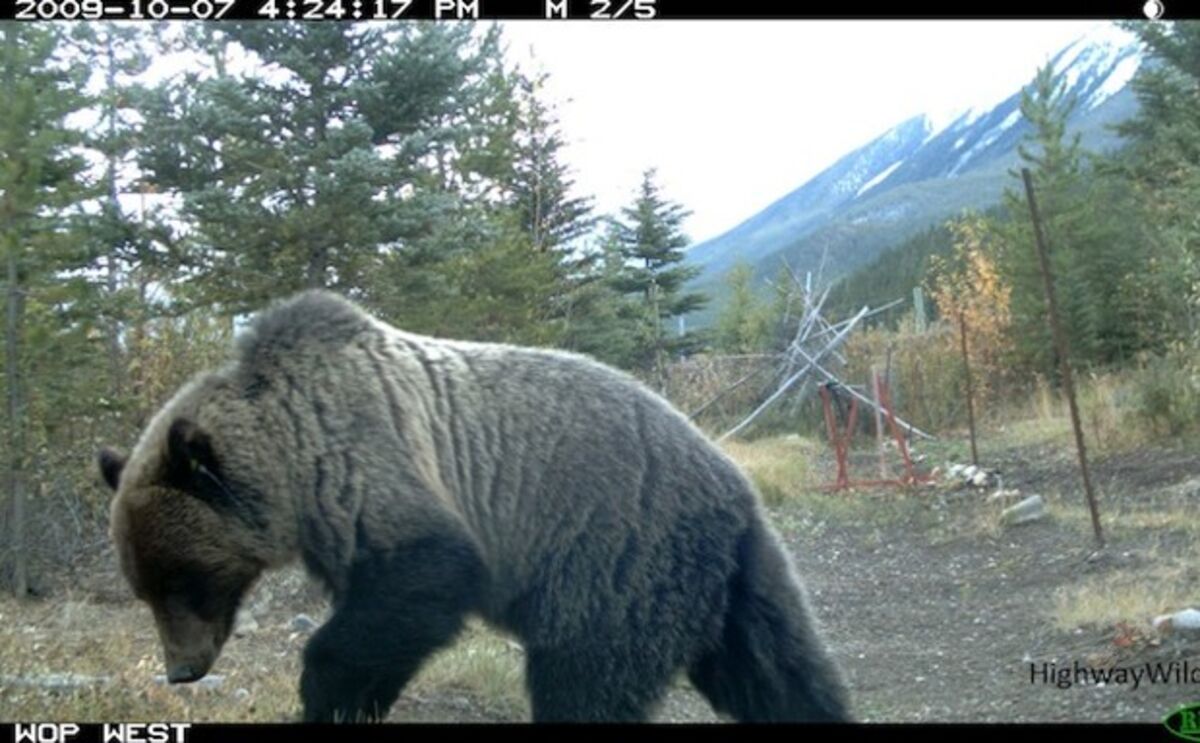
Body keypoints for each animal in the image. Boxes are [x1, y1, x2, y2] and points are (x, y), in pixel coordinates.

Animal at [98, 290, 851, 723]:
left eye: (182, 579)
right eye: (144, 586)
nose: (182, 668)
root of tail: (731, 478)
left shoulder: (369, 470)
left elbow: (428, 575)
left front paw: (325, 693)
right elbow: (385, 626)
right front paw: (358, 702)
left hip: (620, 562)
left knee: (584, 682)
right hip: (733, 577)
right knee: (780, 672)